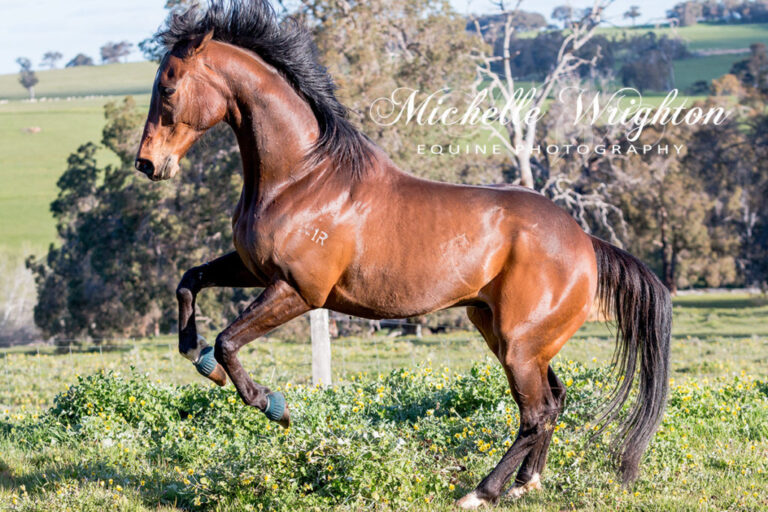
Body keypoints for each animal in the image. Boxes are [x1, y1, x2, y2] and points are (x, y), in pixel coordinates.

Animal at [135, 1, 671, 508]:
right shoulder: (253, 269)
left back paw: (482, 492)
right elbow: (189, 281)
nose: (147, 164)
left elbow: (228, 340)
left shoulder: (299, 291)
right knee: (554, 402)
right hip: (508, 336)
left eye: (169, 88)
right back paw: (526, 484)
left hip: (520, 346)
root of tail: (585, 242)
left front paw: (270, 404)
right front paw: (196, 355)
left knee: (536, 413)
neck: (302, 177)